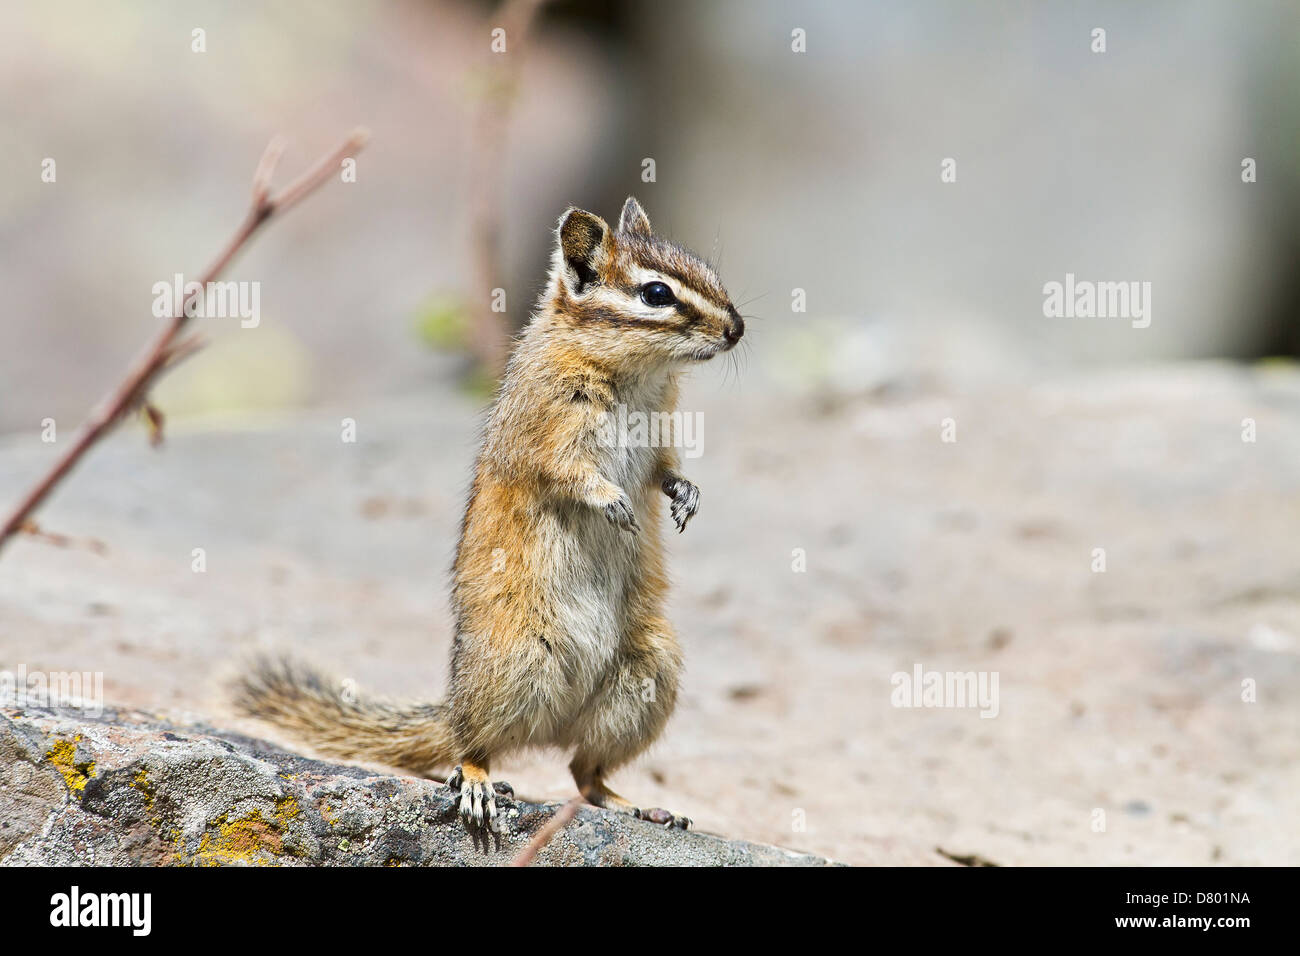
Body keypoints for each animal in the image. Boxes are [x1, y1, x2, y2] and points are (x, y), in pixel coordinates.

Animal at [233, 197, 744, 832]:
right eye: (656, 294)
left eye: (711, 274)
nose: (737, 328)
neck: (635, 375)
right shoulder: (544, 430)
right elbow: (567, 472)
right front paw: (612, 501)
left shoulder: (661, 434)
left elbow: (664, 470)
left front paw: (686, 494)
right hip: (516, 660)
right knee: (474, 745)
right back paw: (477, 782)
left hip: (648, 671)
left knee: (585, 774)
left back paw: (641, 806)